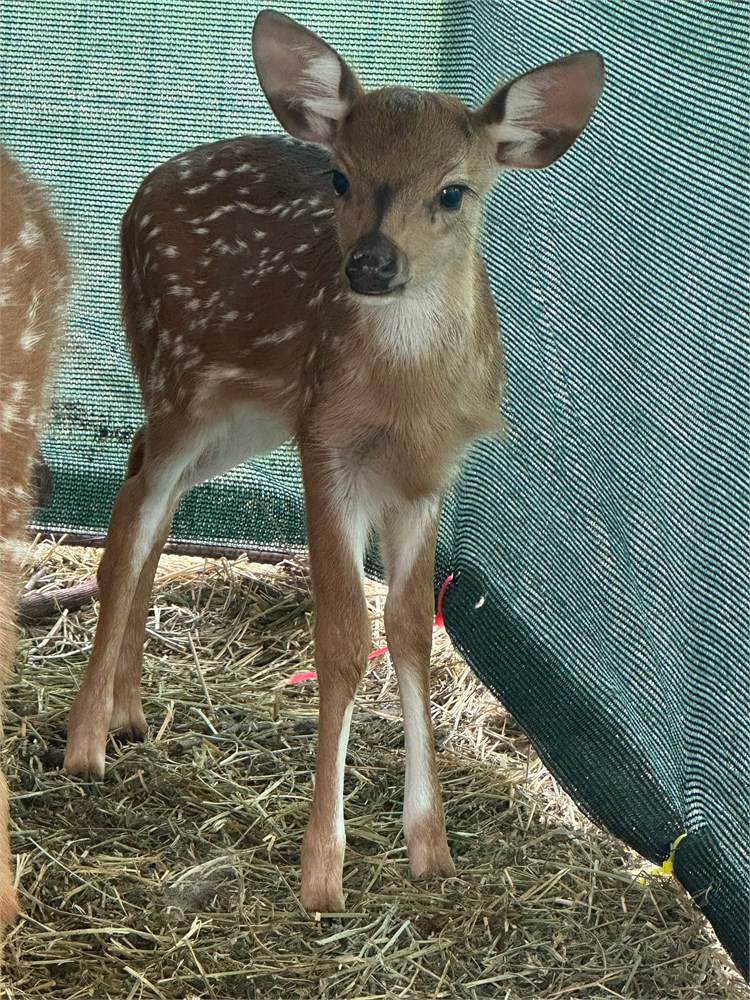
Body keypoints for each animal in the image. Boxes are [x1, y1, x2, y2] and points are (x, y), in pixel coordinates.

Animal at [62, 9, 604, 912]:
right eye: (343, 179)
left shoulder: (430, 477)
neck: (403, 401)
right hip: (181, 376)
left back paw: (128, 713)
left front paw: (431, 849)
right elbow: (344, 640)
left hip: (239, 416)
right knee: (132, 515)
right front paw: (323, 870)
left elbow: (412, 632)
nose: (371, 265)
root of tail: (142, 190)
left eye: (453, 190)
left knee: (148, 488)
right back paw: (84, 744)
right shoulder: (326, 450)